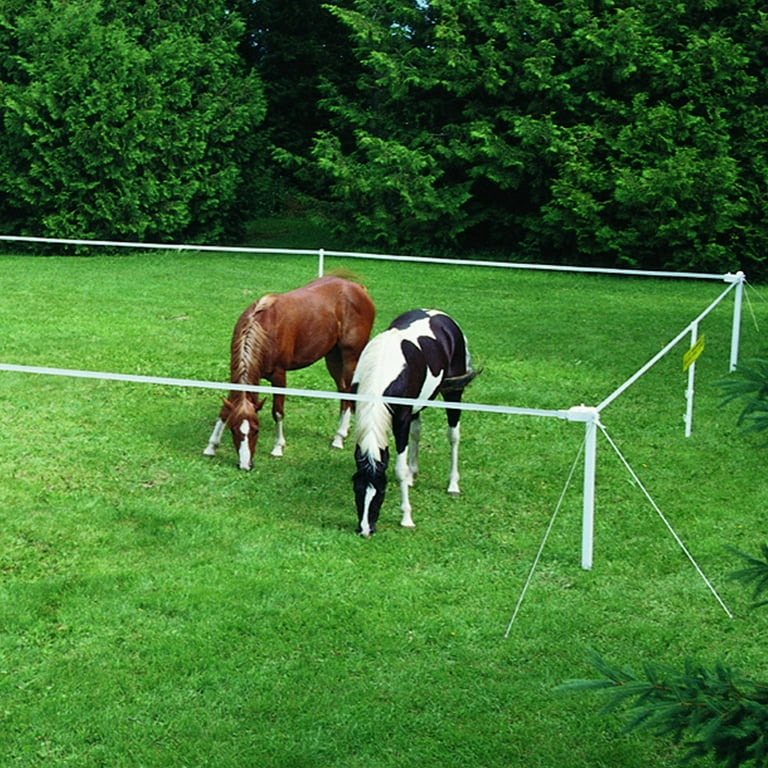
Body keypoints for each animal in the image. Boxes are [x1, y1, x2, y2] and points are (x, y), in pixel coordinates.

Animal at [203, 275, 375, 470]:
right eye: (233, 430)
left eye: (256, 430)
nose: (246, 465)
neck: (263, 328)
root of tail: (358, 288)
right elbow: (225, 410)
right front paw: (211, 446)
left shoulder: (279, 376)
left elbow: (278, 411)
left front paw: (278, 448)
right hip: (333, 357)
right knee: (343, 392)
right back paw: (341, 434)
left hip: (351, 357)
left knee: (351, 393)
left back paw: (338, 439)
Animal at [351, 309, 478, 537]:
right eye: (357, 488)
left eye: (381, 492)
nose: (365, 529)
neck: (382, 368)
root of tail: (441, 315)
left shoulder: (401, 420)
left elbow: (399, 469)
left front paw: (406, 518)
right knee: (417, 432)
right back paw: (413, 474)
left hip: (453, 393)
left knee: (453, 436)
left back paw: (453, 485)